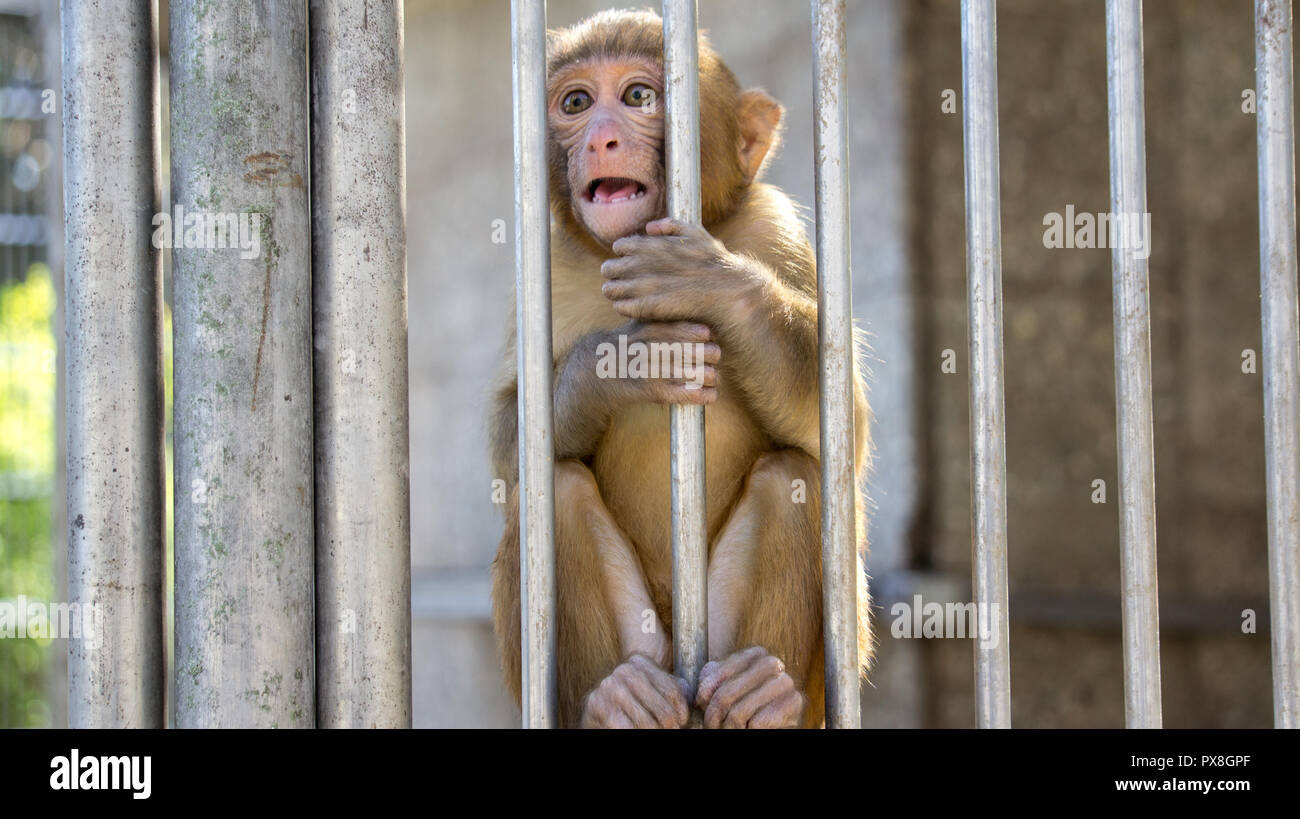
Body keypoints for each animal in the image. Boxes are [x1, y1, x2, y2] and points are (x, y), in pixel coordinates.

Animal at [489, 9, 872, 728]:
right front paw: (617, 362)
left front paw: (713, 283)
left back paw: (765, 696)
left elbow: (838, 430)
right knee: (555, 487)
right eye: (576, 103)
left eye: (639, 96)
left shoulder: (771, 229)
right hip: (643, 651)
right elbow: (509, 446)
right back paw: (611, 698)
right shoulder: (547, 269)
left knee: (792, 475)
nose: (602, 138)